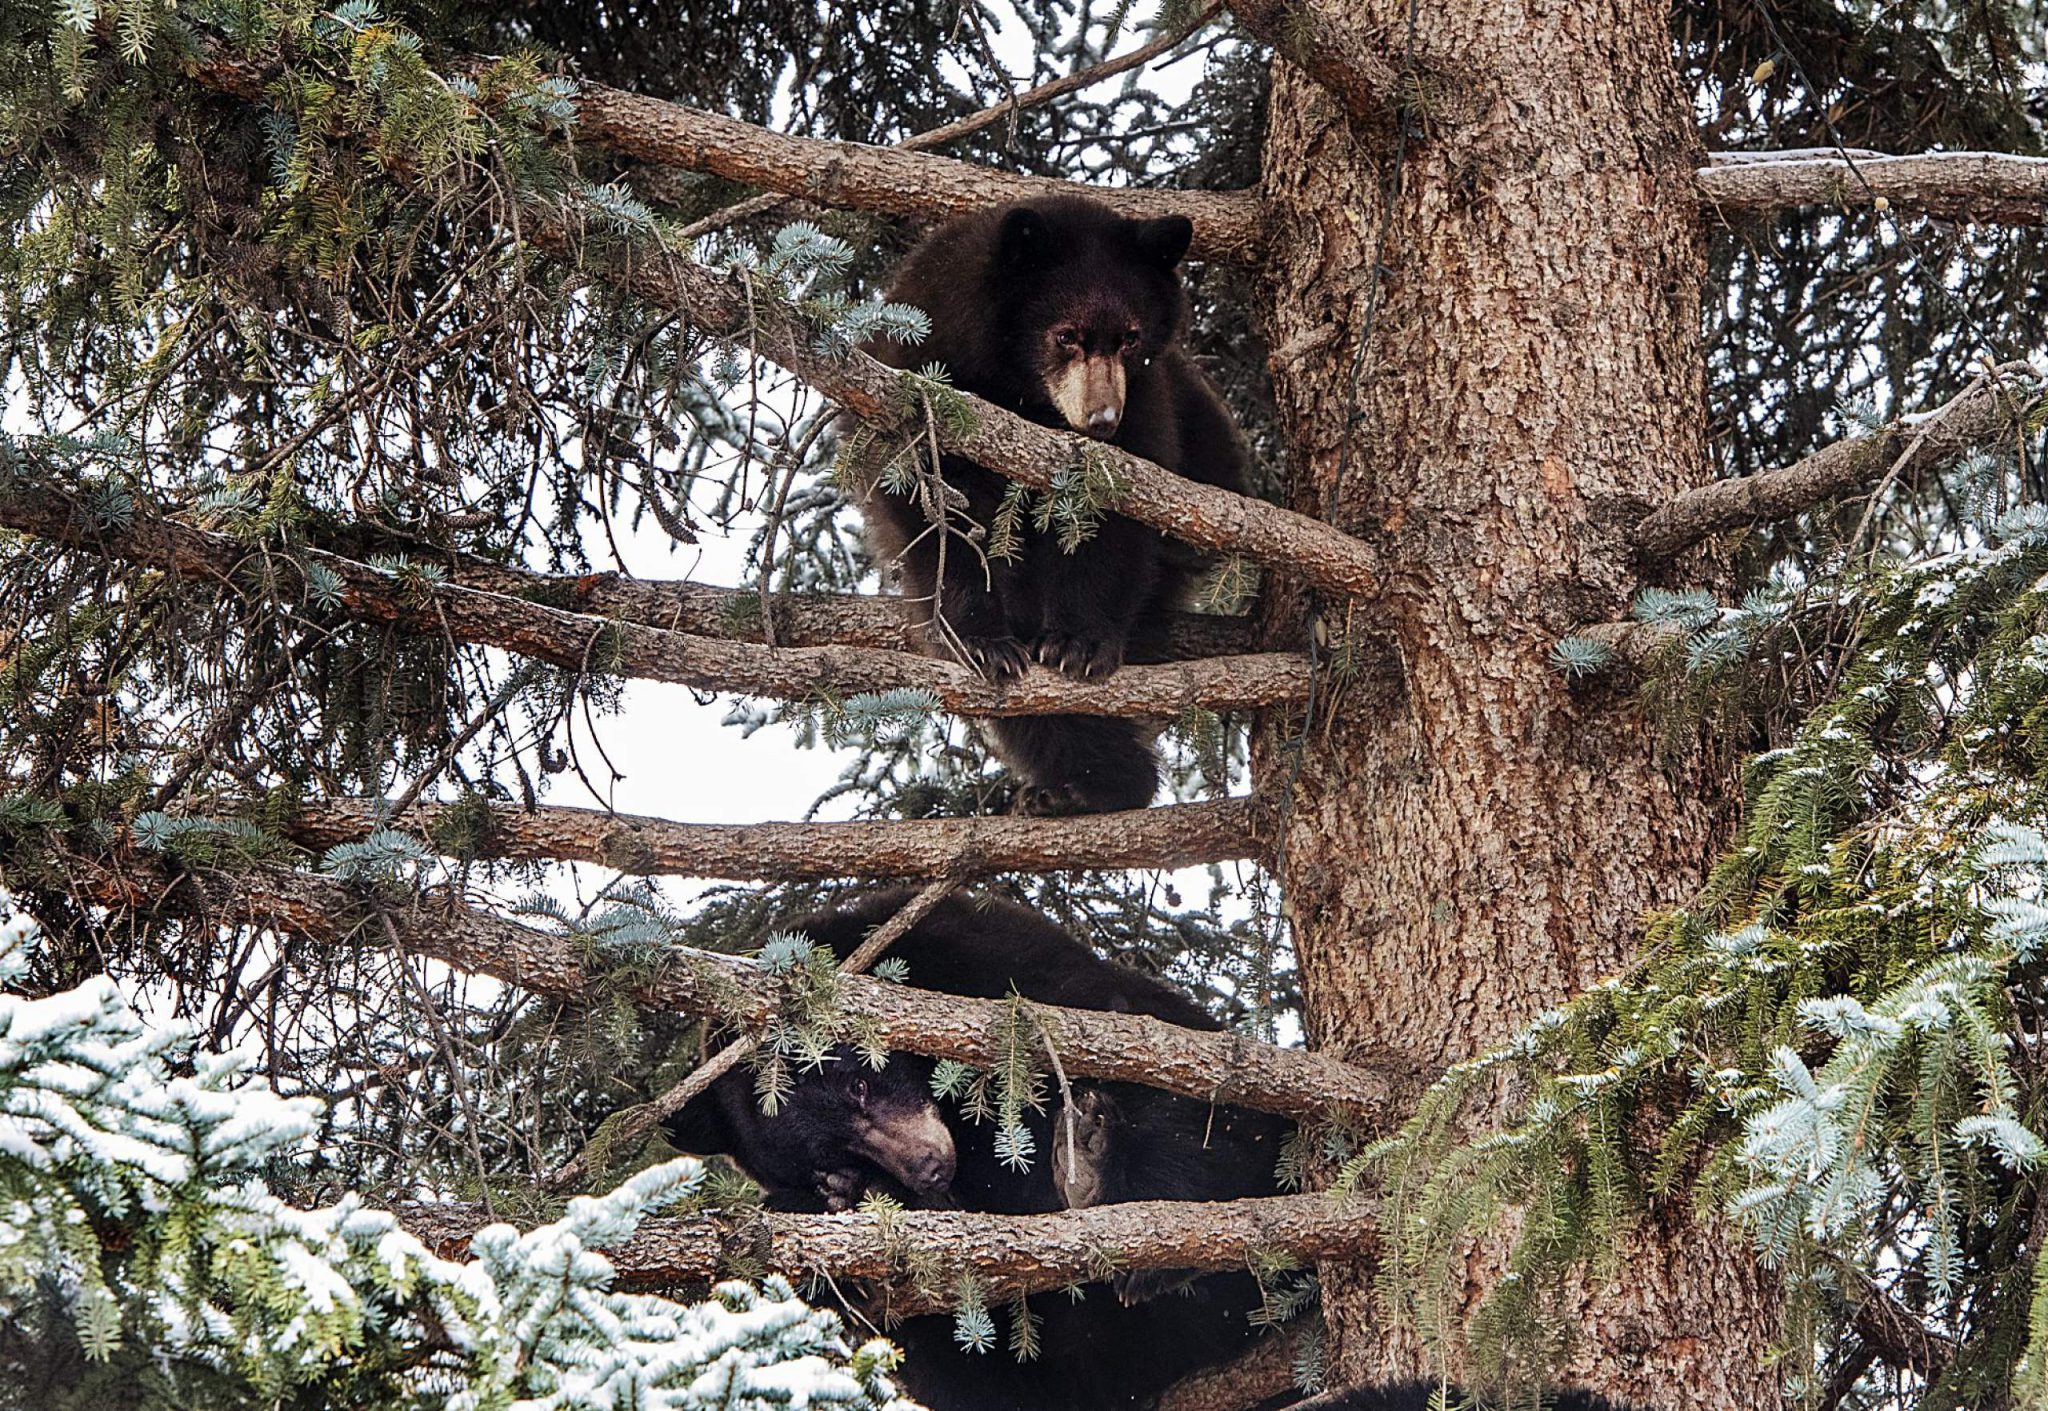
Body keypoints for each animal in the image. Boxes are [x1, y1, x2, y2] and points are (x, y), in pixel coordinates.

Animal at [858, 196, 1253, 815]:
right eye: (1066, 335)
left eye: (1130, 337)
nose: (1102, 420)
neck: (1022, 394)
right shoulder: (926, 380)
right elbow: (935, 516)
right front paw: (985, 644)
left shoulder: (1147, 408)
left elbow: (1115, 524)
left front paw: (1078, 643)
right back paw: (1081, 783)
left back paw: (1095, 783)